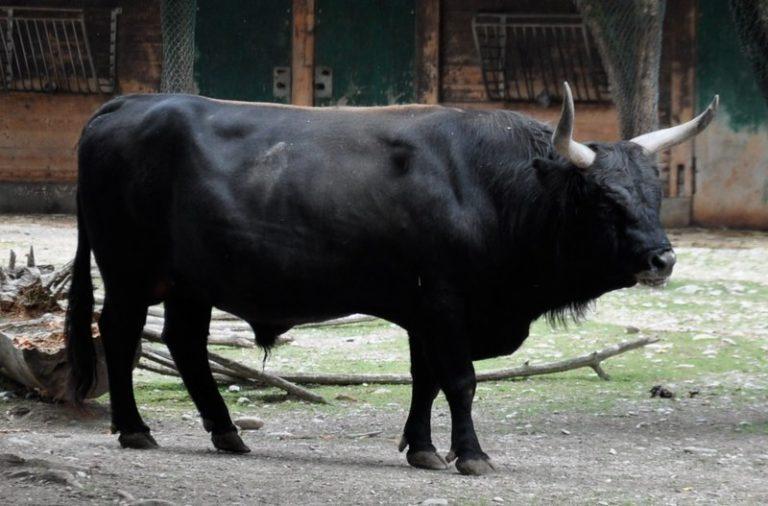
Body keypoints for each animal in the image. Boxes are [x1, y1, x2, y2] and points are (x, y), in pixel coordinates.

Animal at [65, 82, 718, 475]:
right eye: (606, 198)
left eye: (655, 191)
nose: (663, 260)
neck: (491, 186)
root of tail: (128, 104)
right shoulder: (446, 305)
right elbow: (460, 381)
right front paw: (470, 454)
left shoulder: (423, 311)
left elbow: (424, 381)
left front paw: (423, 448)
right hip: (129, 272)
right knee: (118, 334)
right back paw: (135, 429)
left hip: (190, 285)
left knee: (187, 346)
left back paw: (226, 433)